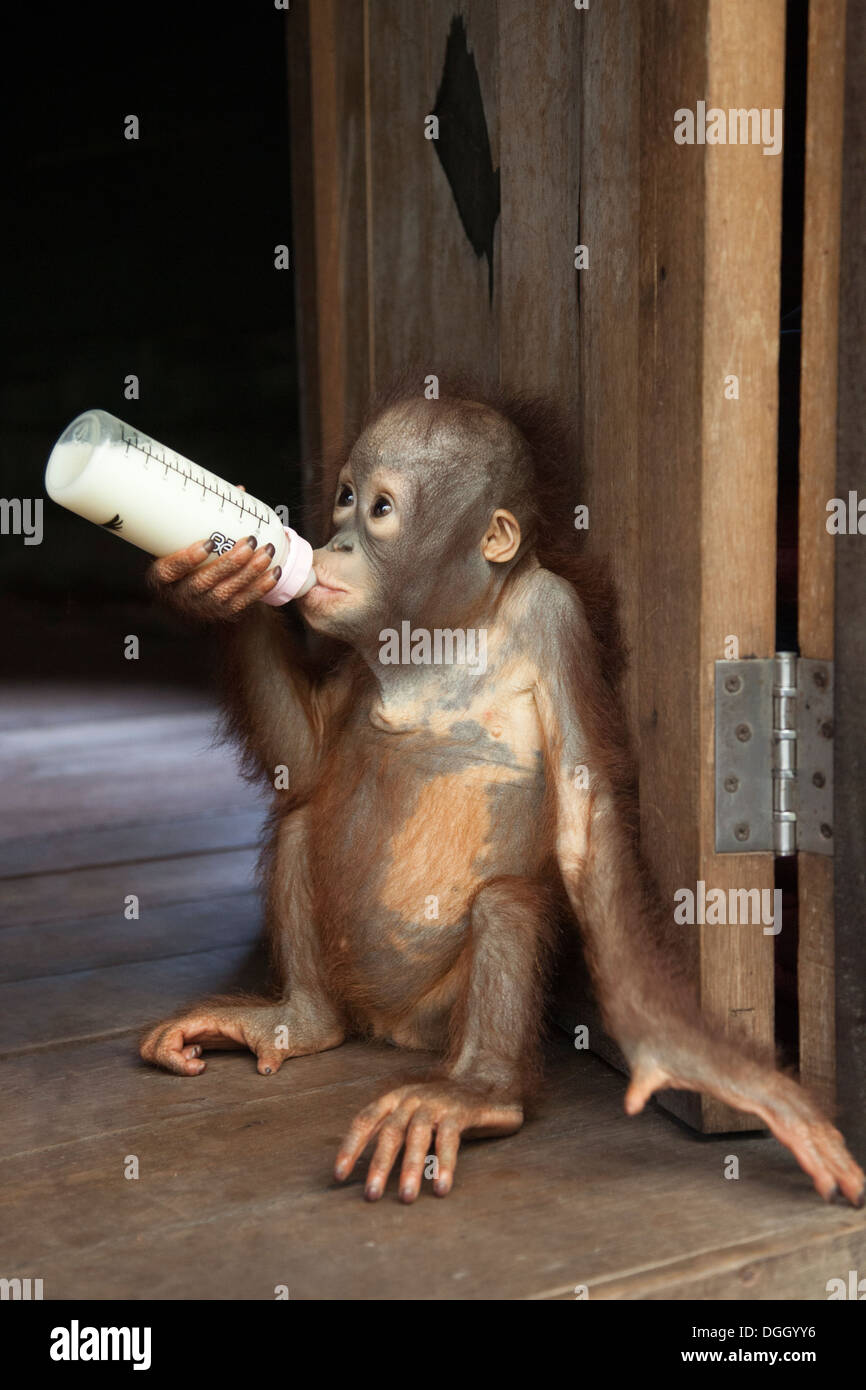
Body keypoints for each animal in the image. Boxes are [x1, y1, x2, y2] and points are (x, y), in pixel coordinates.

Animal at [140, 379, 864, 1208]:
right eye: (344, 499)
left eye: (380, 509)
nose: (336, 542)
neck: (449, 624)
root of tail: (385, 1026)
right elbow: (309, 758)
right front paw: (216, 588)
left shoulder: (556, 614)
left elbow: (586, 819)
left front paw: (710, 1068)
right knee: (300, 825)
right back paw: (298, 1020)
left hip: (441, 1016)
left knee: (508, 904)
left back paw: (476, 1094)